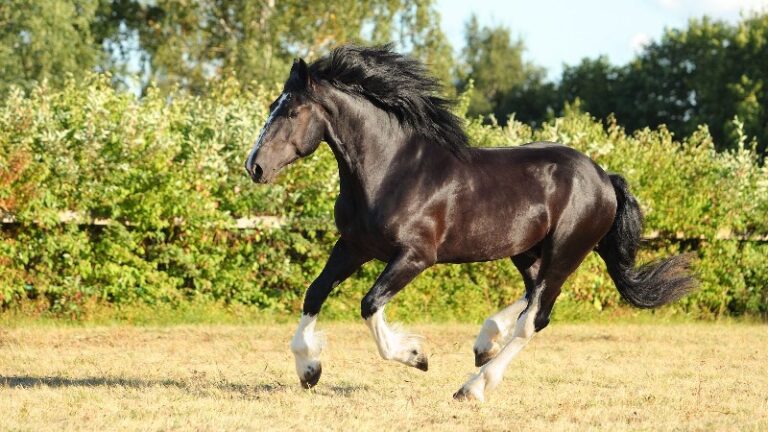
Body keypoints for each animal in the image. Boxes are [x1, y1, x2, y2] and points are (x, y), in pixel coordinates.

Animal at [244, 45, 694, 401]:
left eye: (293, 111)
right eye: (271, 108)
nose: (255, 167)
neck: (390, 171)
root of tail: (604, 177)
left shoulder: (415, 257)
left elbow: (369, 304)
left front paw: (416, 356)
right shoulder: (354, 246)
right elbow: (315, 292)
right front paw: (309, 370)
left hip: (566, 252)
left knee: (535, 318)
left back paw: (473, 386)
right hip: (526, 251)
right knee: (532, 297)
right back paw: (484, 343)